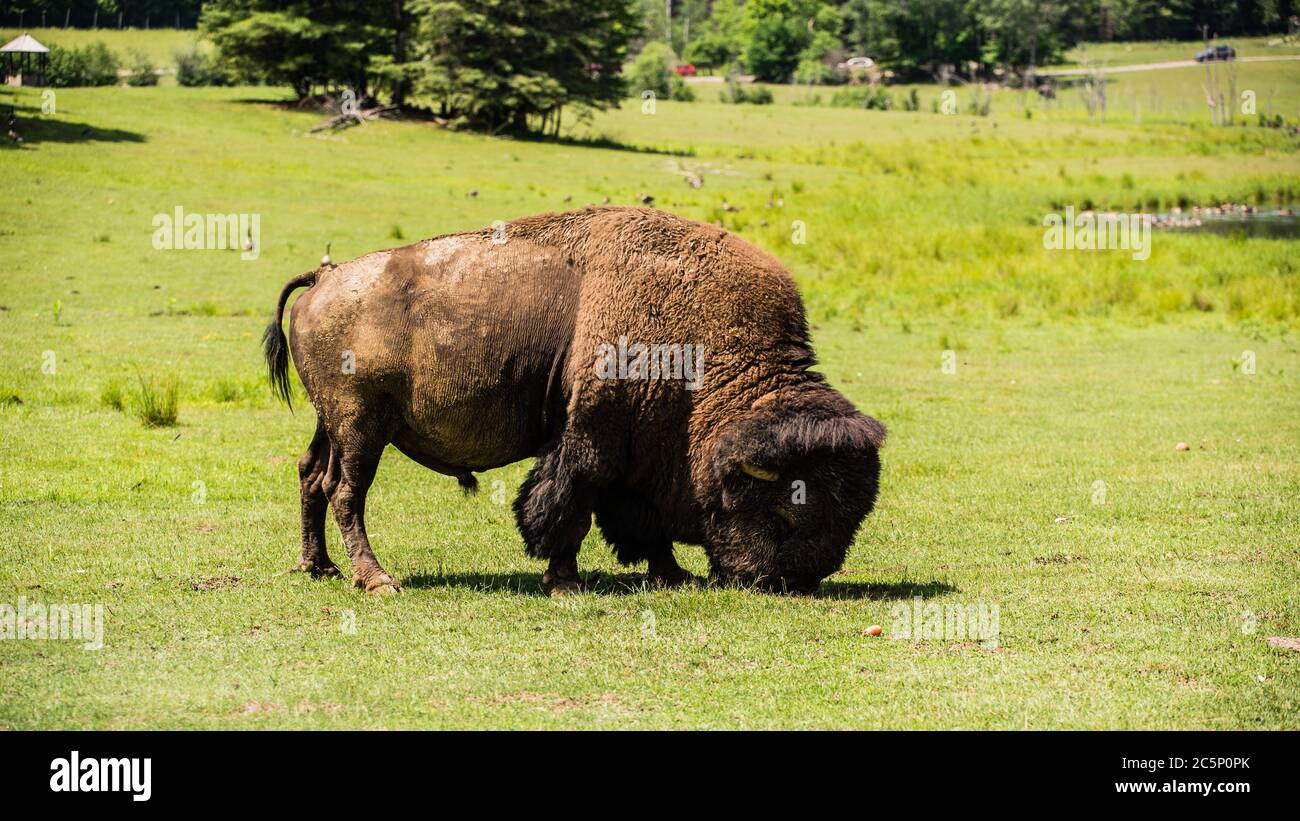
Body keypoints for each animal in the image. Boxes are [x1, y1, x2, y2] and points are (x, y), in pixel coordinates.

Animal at [263, 207, 884, 595]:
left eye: (854, 514)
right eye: (788, 508)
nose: (792, 581)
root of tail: (325, 278)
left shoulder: (640, 452)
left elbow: (637, 518)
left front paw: (670, 574)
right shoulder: (592, 436)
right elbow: (569, 503)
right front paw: (565, 581)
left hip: (332, 424)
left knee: (310, 475)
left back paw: (317, 567)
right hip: (361, 425)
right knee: (345, 492)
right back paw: (377, 581)